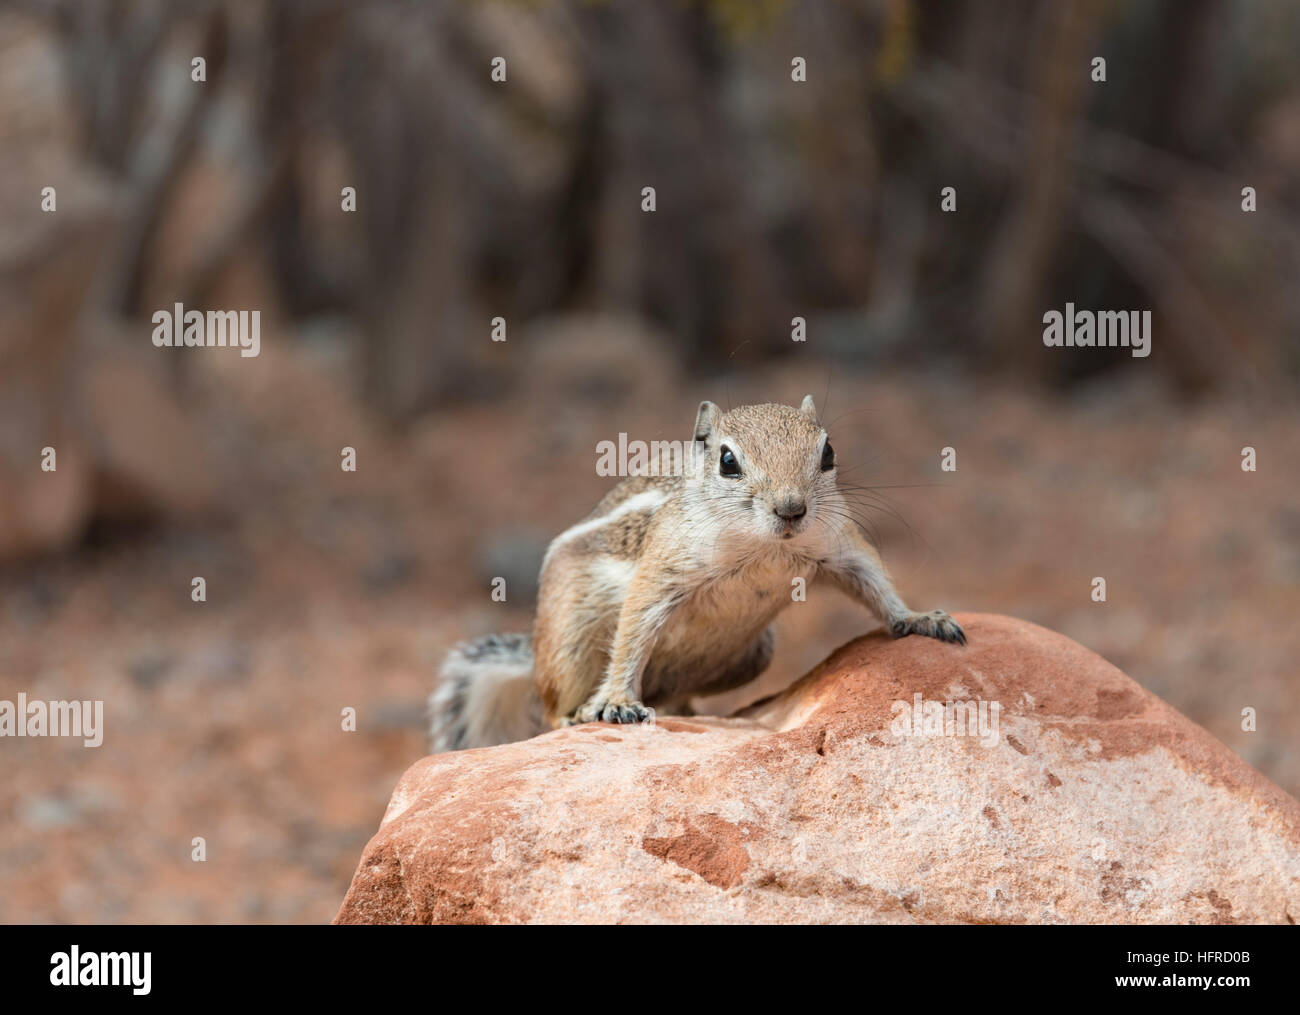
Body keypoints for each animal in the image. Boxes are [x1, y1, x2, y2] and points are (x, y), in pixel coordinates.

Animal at [429, 396, 965, 752]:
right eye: (727, 461)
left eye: (828, 453)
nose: (792, 509)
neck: (767, 549)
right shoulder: (666, 567)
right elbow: (635, 626)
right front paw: (618, 700)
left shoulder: (838, 545)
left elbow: (874, 581)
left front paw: (920, 618)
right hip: (569, 640)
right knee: (552, 702)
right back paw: (577, 714)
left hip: (754, 657)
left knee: (678, 696)